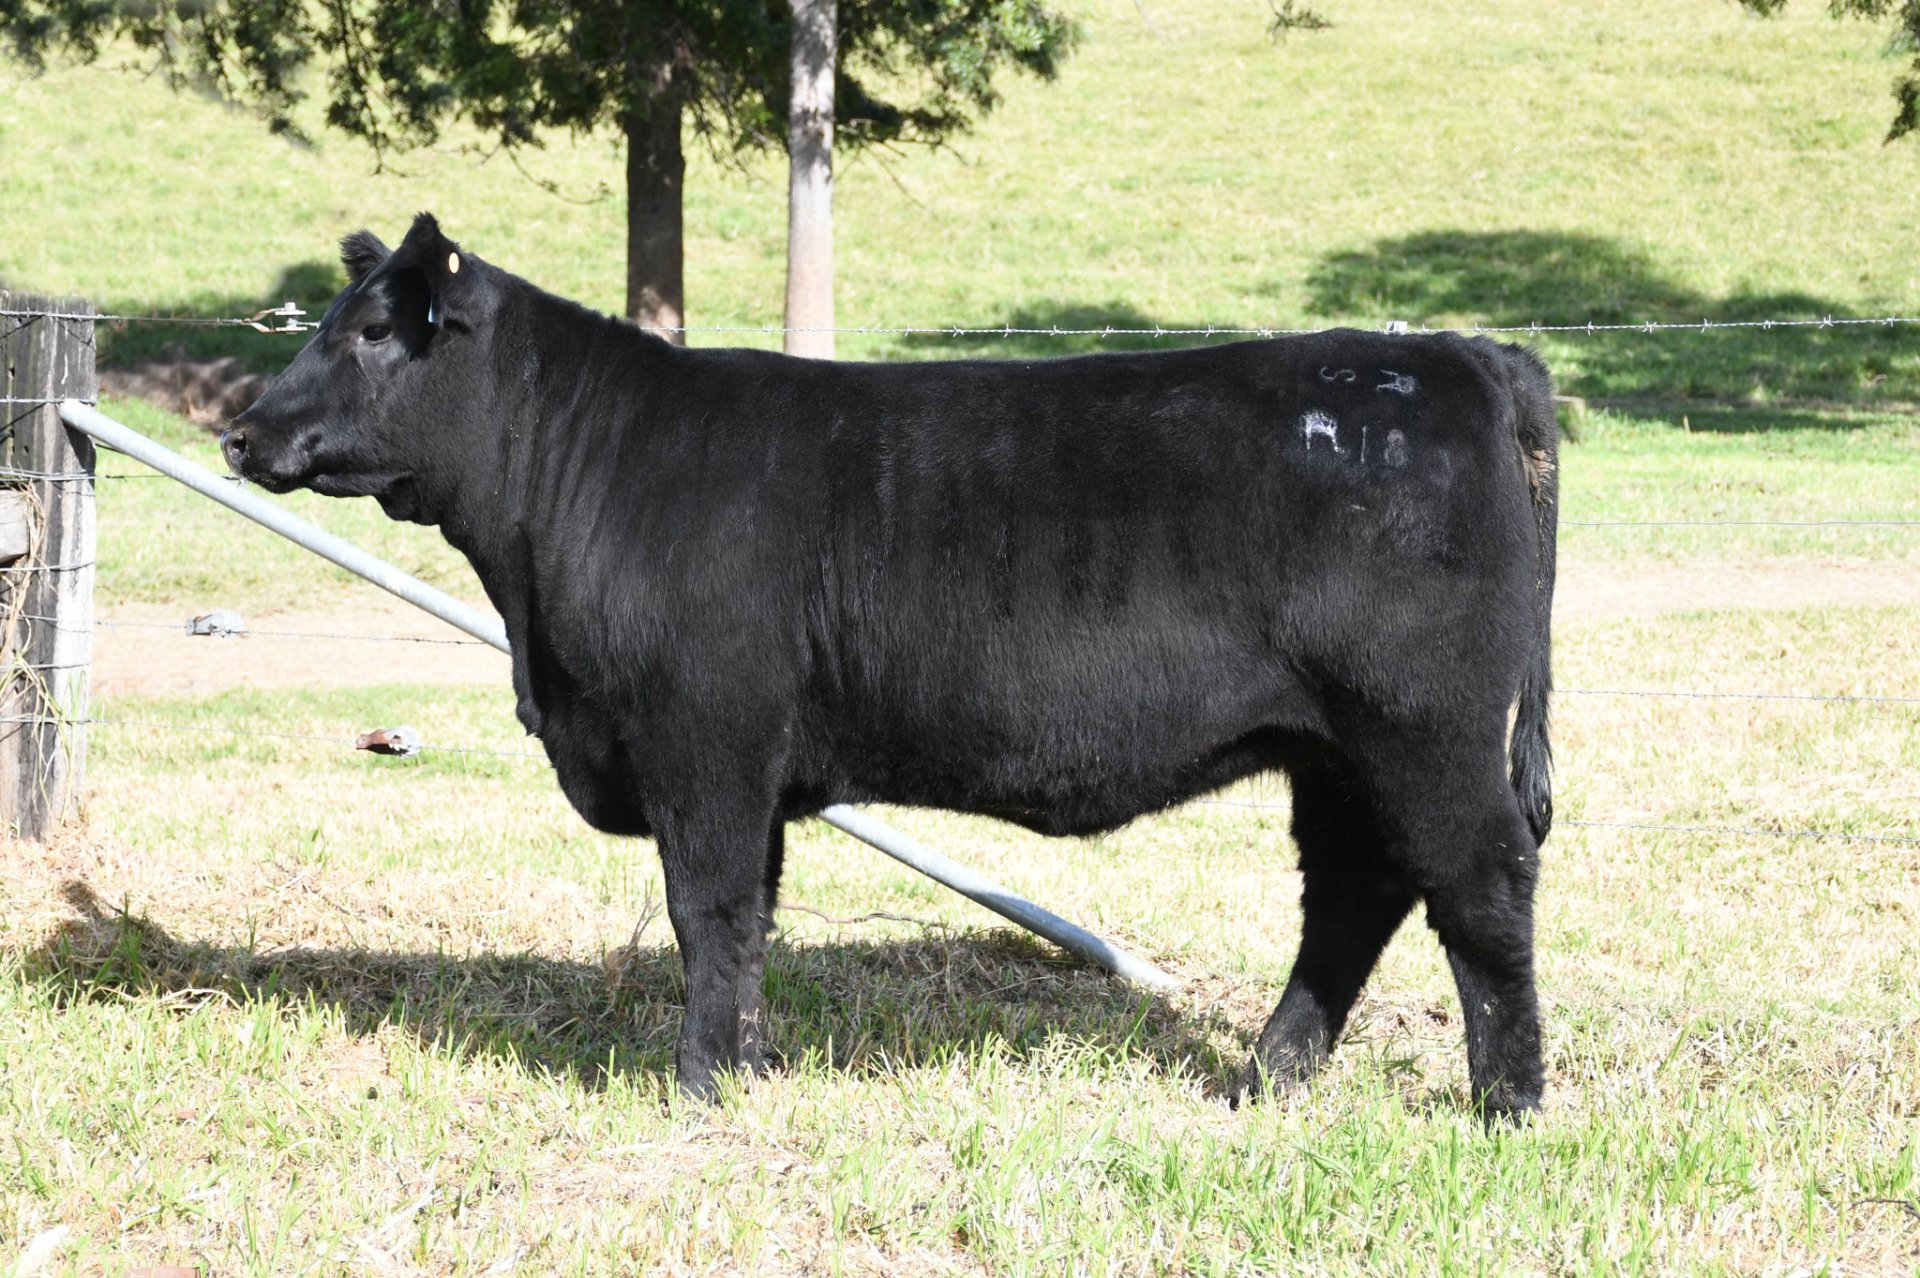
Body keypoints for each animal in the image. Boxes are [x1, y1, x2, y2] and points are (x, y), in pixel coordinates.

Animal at [223, 214, 1559, 1121]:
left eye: (375, 333)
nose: (239, 430)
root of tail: (1466, 358)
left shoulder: (704, 738)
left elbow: (707, 908)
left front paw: (700, 1087)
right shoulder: (745, 763)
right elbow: (752, 917)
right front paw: (750, 1066)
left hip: (1420, 725)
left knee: (1479, 884)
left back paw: (1508, 1102)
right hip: (1332, 749)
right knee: (1356, 894)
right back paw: (1266, 1079)